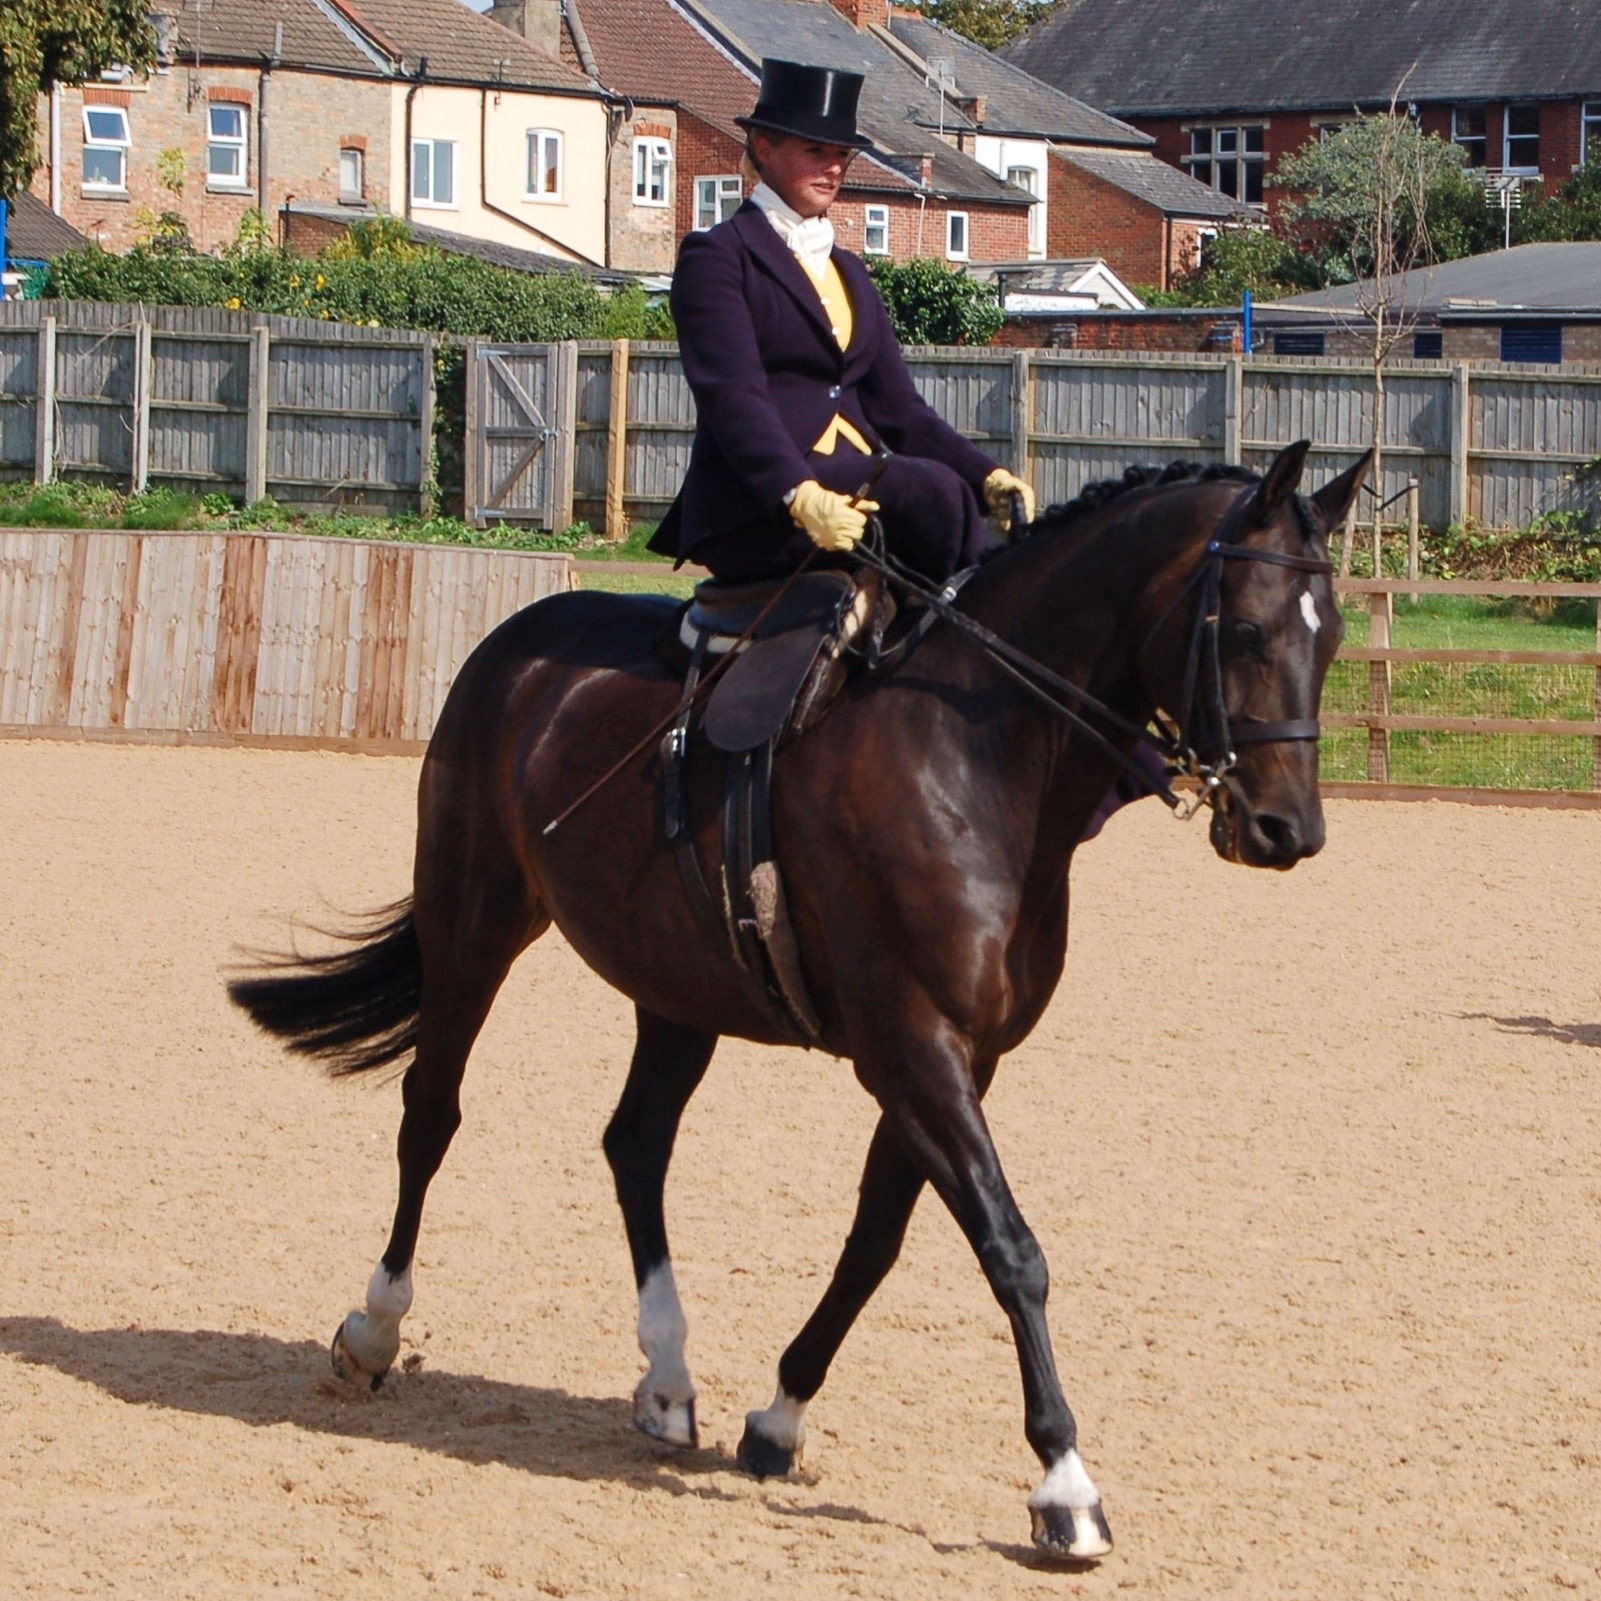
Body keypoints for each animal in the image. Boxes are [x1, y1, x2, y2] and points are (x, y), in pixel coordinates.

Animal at [228, 439, 1368, 1561]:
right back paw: (373, 1328)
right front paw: (1063, 1481)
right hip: (474, 920)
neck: (974, 756)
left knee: (634, 1143)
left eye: (1333, 636)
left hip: (675, 984)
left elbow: (875, 1239)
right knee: (432, 1111)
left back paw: (667, 1378)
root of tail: (513, 647)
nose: (1287, 830)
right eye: (1249, 627)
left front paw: (777, 1416)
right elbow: (1010, 1248)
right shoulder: (913, 1045)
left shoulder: (956, 1055)